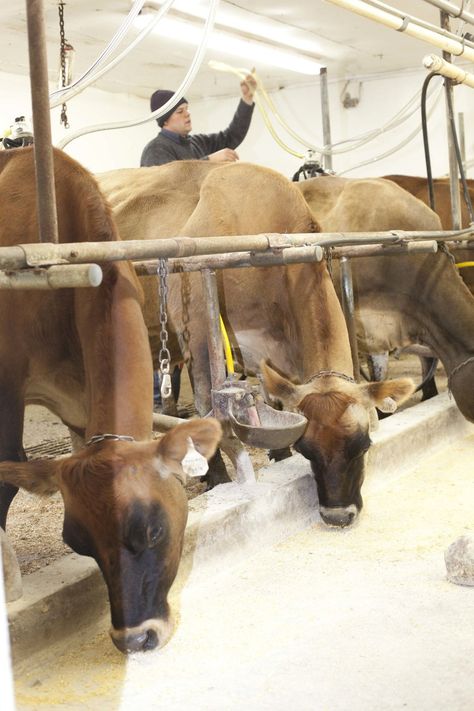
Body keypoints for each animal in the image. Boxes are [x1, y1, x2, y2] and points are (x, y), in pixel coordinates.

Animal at [100, 163, 414, 528]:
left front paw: (278, 455)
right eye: (308, 450)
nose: (337, 516)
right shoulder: (202, 336)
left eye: (363, 445)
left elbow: (271, 401)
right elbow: (208, 406)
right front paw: (217, 477)